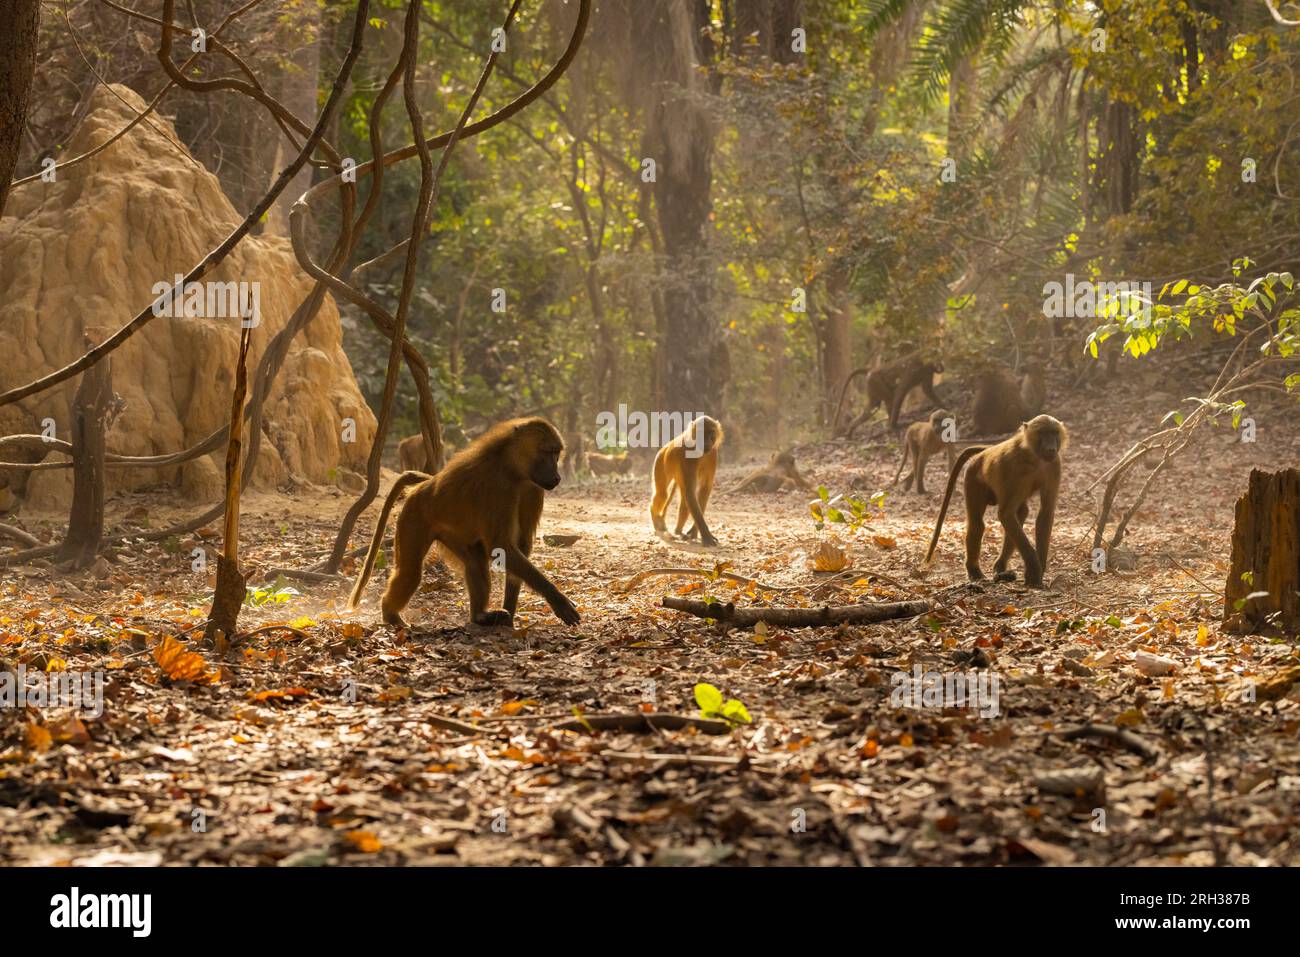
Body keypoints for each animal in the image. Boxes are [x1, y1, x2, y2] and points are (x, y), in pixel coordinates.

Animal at [348, 417, 580, 629]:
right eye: (547, 452)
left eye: (556, 453)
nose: (557, 477)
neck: (512, 468)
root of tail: (425, 485)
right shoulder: (498, 488)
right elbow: (501, 545)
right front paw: (557, 599)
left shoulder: (533, 488)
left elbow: (519, 545)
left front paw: (510, 613)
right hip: (413, 517)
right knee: (410, 573)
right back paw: (390, 614)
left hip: (452, 533)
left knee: (474, 560)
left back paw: (480, 617)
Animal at [649, 416, 724, 547]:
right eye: (701, 433)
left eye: (711, 433)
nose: (707, 442)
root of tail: (664, 448)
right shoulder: (688, 456)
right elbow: (691, 492)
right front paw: (706, 536)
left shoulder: (713, 453)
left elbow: (704, 489)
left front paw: (695, 532)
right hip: (660, 461)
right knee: (663, 494)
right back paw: (656, 520)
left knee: (684, 500)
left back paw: (678, 531)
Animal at [924, 414, 1067, 588]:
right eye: (1043, 433)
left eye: (1054, 433)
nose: (1051, 448)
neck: (1034, 455)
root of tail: (983, 453)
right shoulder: (1018, 468)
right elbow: (1005, 514)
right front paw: (1034, 570)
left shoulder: (1054, 465)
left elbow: (1045, 513)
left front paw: (1040, 569)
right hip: (973, 478)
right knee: (978, 523)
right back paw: (975, 572)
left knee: (1020, 513)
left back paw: (1000, 568)